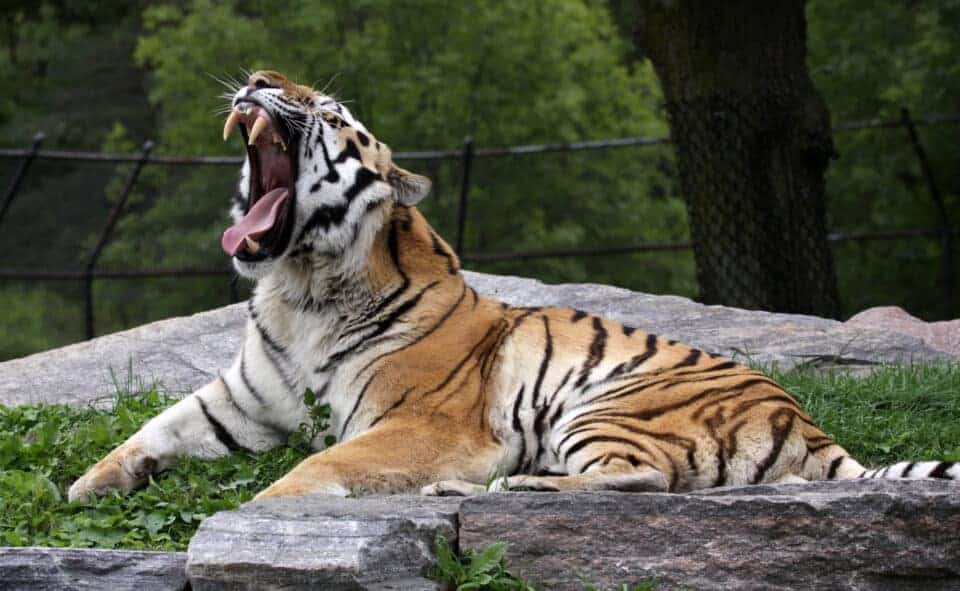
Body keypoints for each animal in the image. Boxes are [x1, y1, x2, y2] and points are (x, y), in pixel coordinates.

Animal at [68, 70, 958, 503]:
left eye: (329, 108)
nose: (259, 75)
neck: (300, 288)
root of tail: (809, 422)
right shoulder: (238, 401)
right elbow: (150, 429)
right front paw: (89, 484)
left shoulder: (417, 422)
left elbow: (318, 465)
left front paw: (254, 505)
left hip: (611, 404)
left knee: (641, 478)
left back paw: (503, 483)